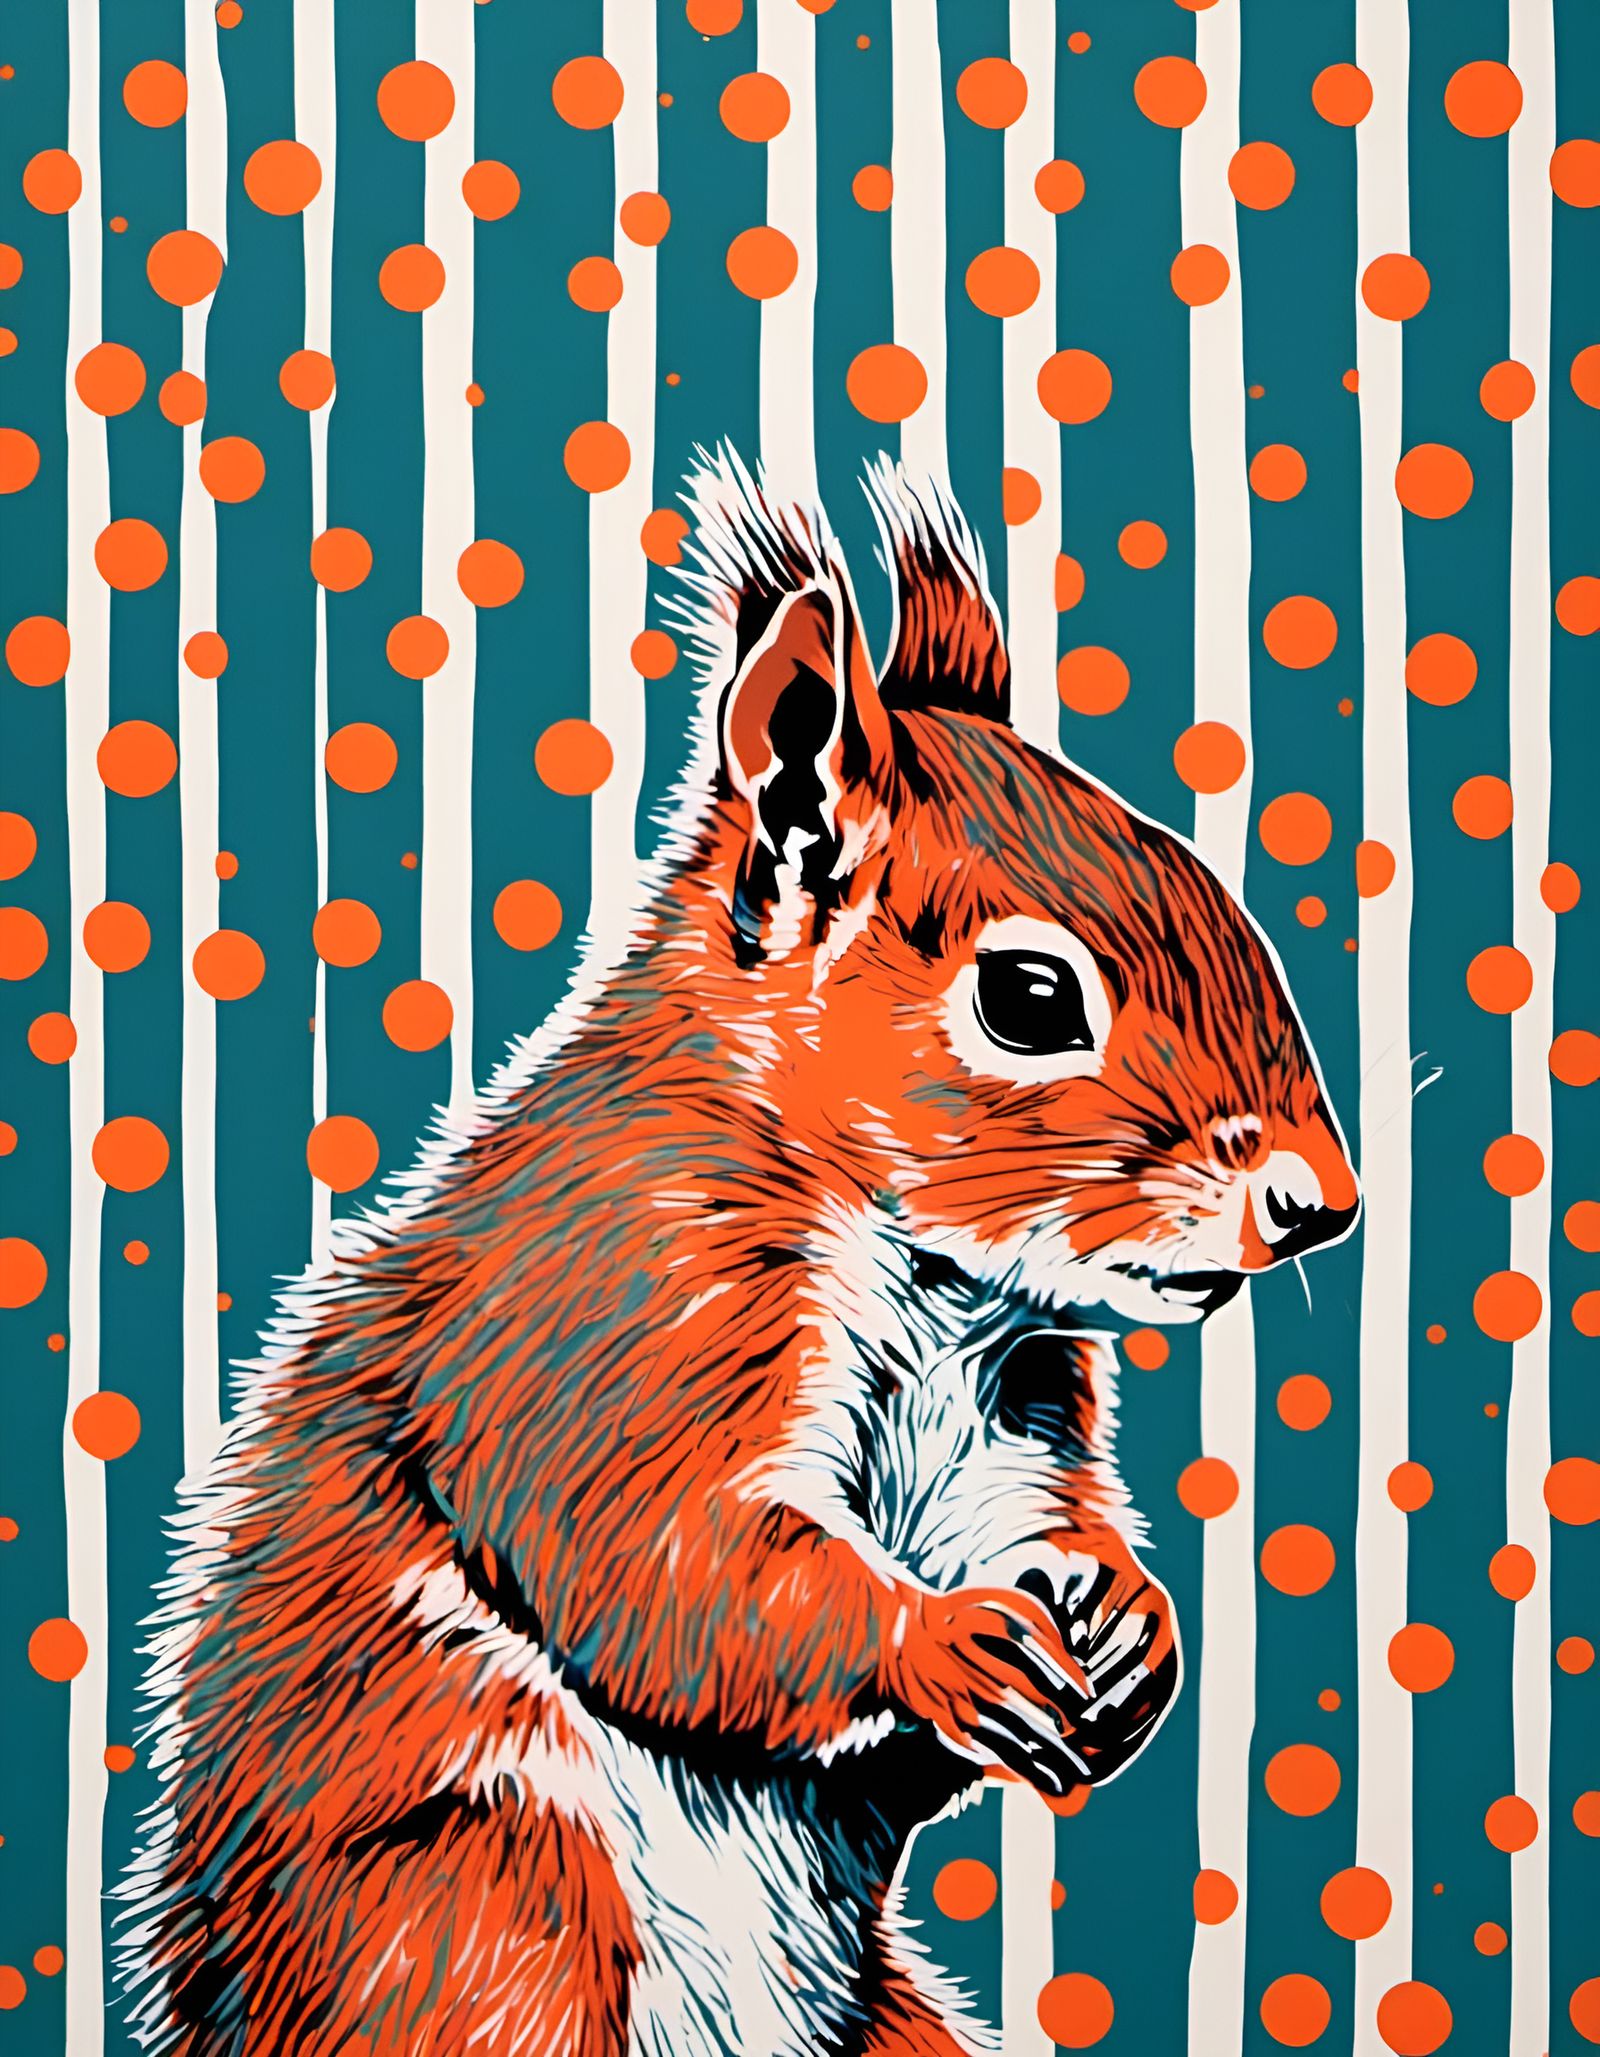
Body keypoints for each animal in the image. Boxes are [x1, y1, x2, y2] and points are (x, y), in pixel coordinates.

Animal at [118, 453, 1358, 2057]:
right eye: (1030, 998)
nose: (1321, 1202)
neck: (927, 1292)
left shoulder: (1010, 1424)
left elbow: (1042, 1524)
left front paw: (1136, 1620)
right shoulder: (614, 1304)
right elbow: (665, 1563)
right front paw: (941, 1643)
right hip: (489, 1920)